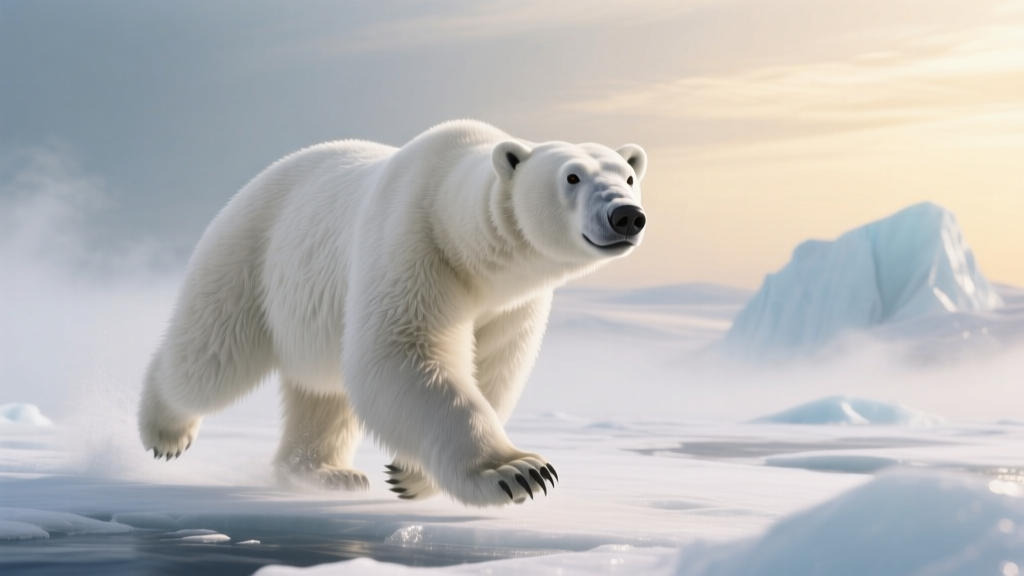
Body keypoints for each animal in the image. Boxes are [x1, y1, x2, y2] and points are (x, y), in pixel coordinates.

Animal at [138, 120, 647, 507]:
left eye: (628, 176)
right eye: (572, 177)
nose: (626, 215)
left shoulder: (512, 302)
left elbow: (493, 369)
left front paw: (411, 476)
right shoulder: (414, 241)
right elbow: (402, 353)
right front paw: (517, 472)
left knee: (323, 391)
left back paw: (325, 473)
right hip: (252, 254)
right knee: (212, 358)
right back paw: (166, 431)